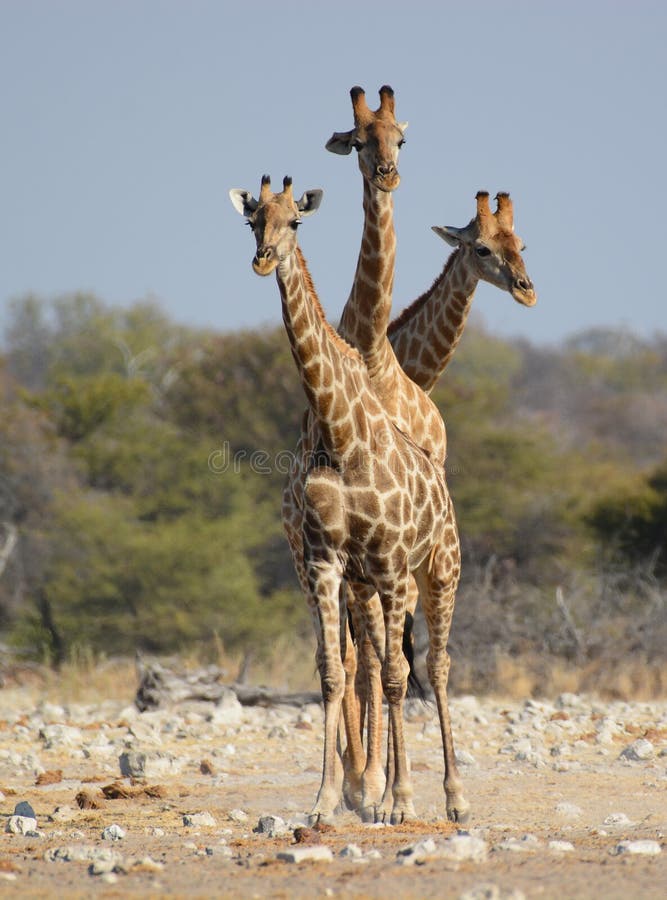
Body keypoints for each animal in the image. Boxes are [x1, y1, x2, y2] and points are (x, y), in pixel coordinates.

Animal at [230, 175, 462, 825]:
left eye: (296, 222)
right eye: (252, 220)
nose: (263, 260)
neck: (340, 435)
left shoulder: (390, 564)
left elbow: (396, 677)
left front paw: (399, 801)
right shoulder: (325, 562)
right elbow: (334, 674)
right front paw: (325, 799)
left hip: (439, 570)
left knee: (433, 666)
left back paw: (453, 797)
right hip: (372, 581)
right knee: (382, 665)